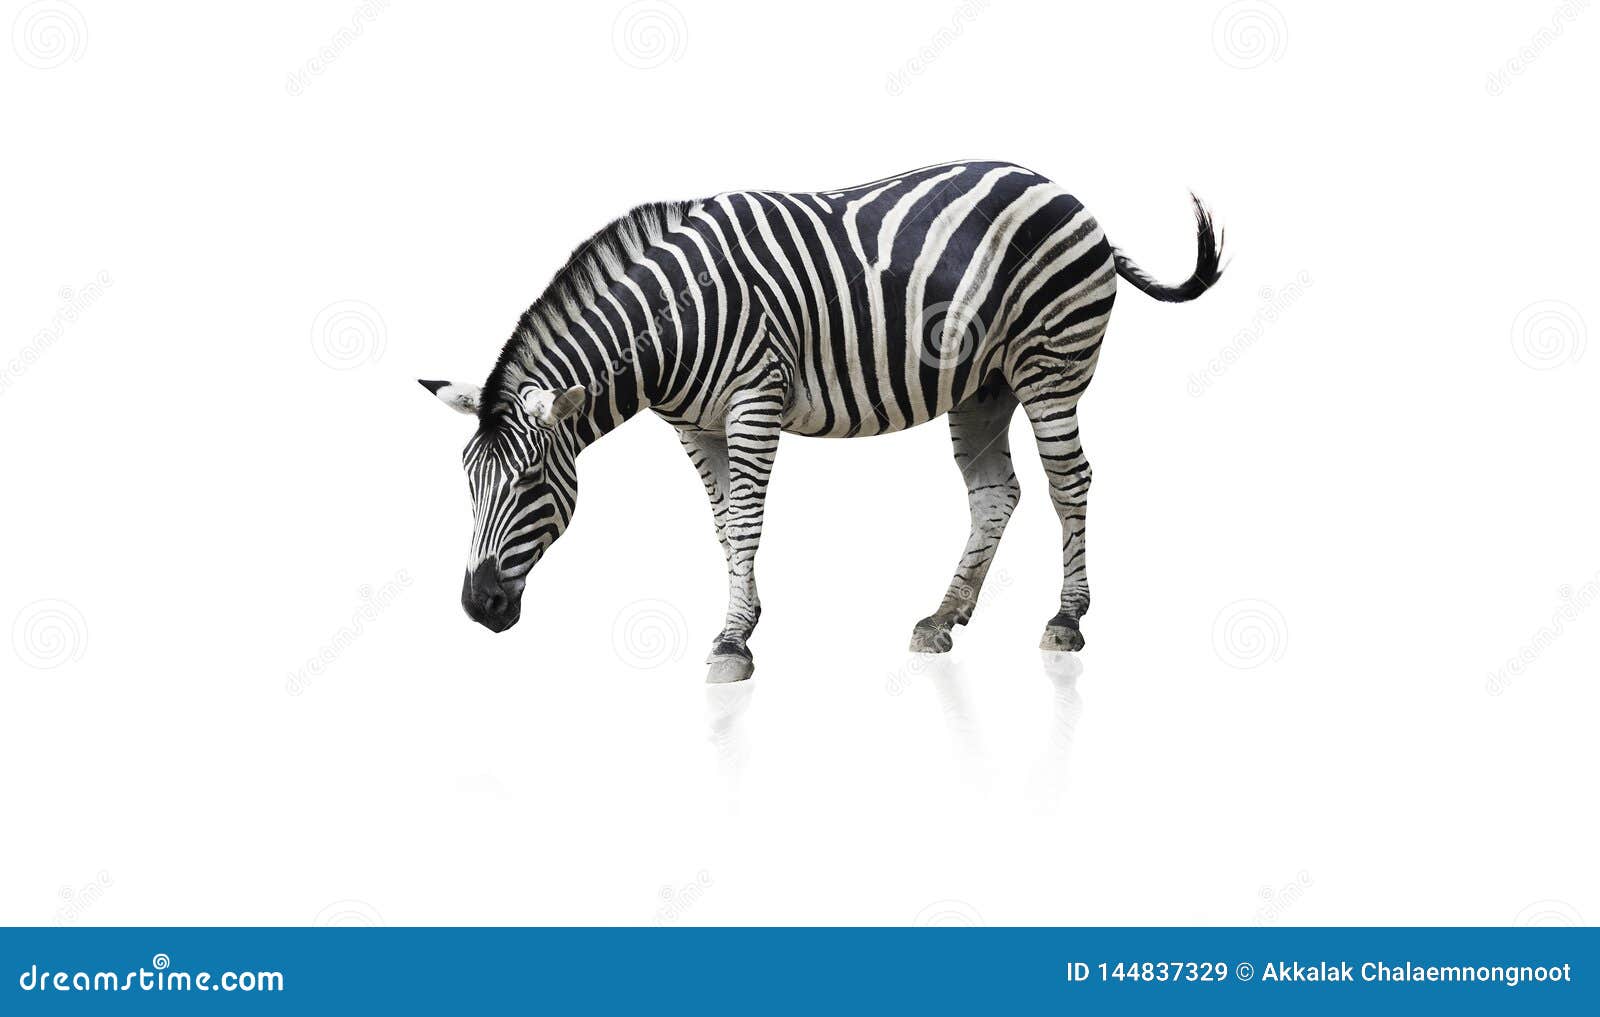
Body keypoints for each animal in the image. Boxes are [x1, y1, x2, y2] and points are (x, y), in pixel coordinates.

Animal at [420, 160, 1223, 682]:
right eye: (468, 484)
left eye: (530, 483)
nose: (477, 607)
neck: (672, 320)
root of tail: (1060, 186)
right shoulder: (695, 426)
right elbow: (724, 526)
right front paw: (742, 619)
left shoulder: (755, 398)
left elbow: (747, 522)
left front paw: (732, 643)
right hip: (984, 385)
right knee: (997, 494)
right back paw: (942, 617)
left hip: (1051, 365)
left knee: (1070, 484)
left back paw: (1066, 619)